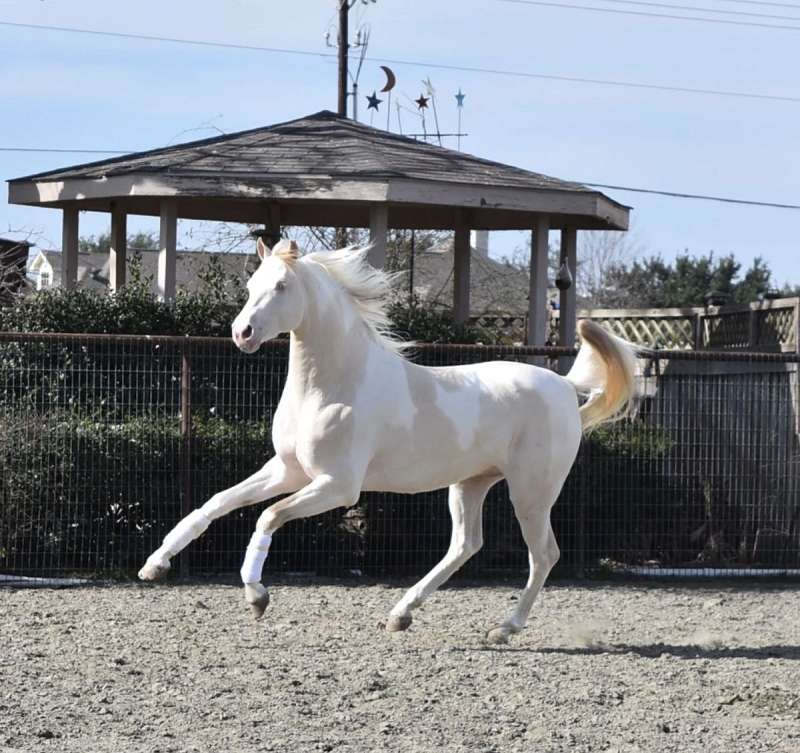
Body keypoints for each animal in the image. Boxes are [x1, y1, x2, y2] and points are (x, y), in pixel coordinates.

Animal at [139, 238, 637, 644]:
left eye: (280, 286)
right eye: (250, 285)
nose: (241, 334)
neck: (332, 385)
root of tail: (564, 388)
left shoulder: (337, 487)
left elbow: (267, 516)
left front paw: (256, 596)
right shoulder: (287, 470)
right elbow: (215, 503)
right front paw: (155, 565)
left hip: (531, 491)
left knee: (543, 554)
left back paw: (504, 628)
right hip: (470, 484)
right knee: (465, 545)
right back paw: (401, 614)